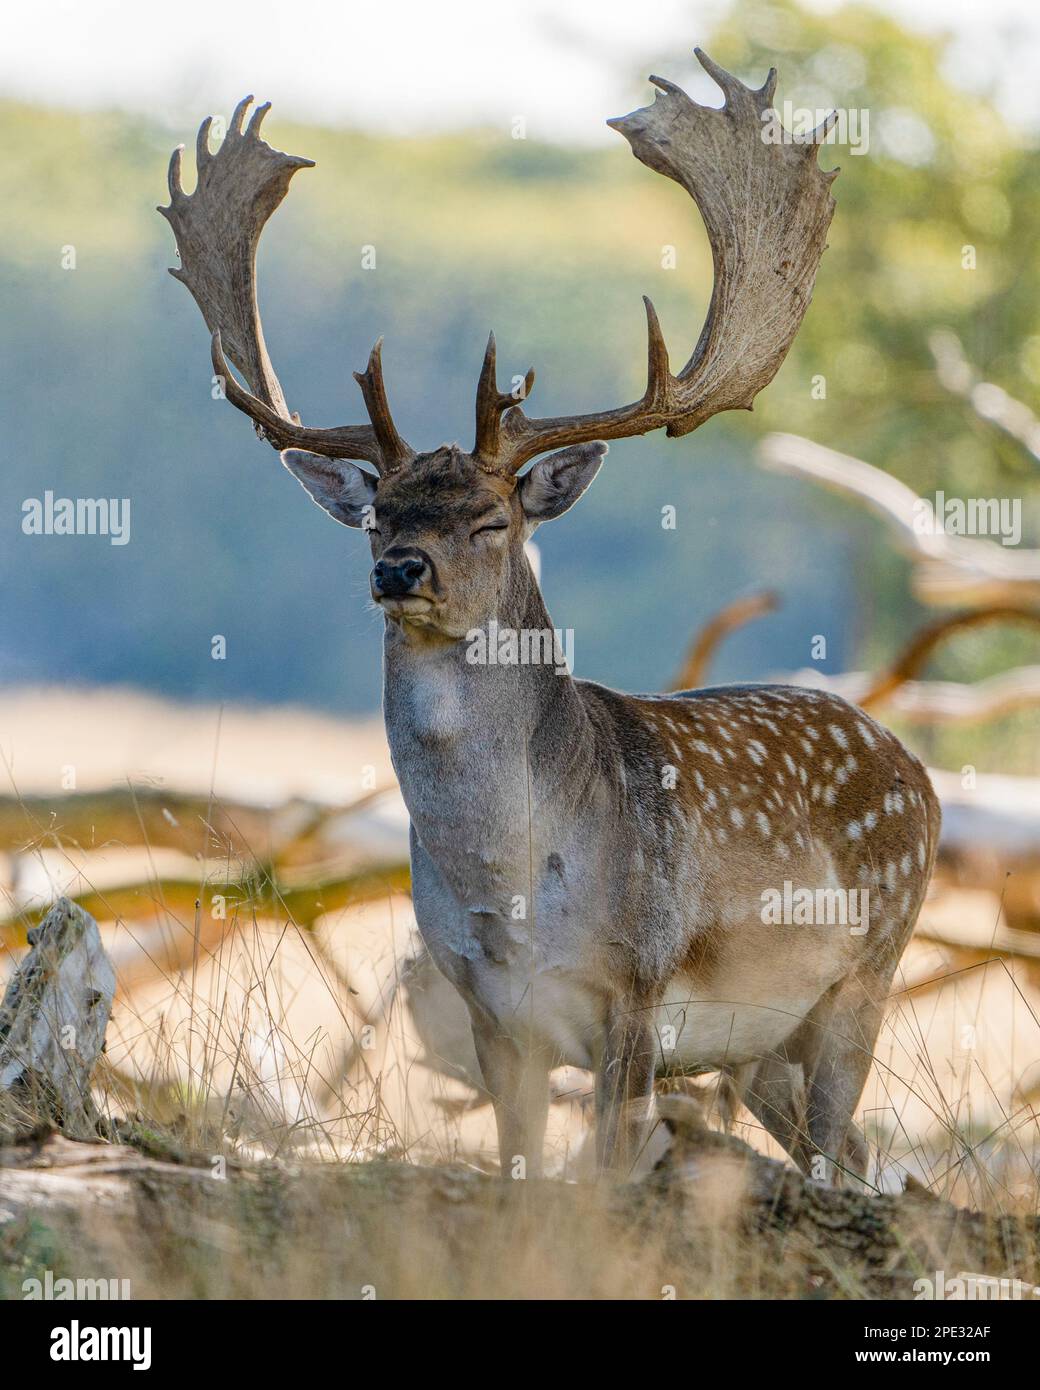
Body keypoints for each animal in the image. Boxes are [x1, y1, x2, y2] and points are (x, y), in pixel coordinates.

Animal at [160, 49, 940, 1182]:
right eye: (378, 514)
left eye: (491, 519)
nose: (398, 569)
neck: (512, 893)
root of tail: (920, 771)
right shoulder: (487, 1008)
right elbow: (520, 1171)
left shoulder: (639, 990)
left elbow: (604, 1180)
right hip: (765, 1048)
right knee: (862, 1161)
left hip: (868, 970)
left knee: (846, 1154)